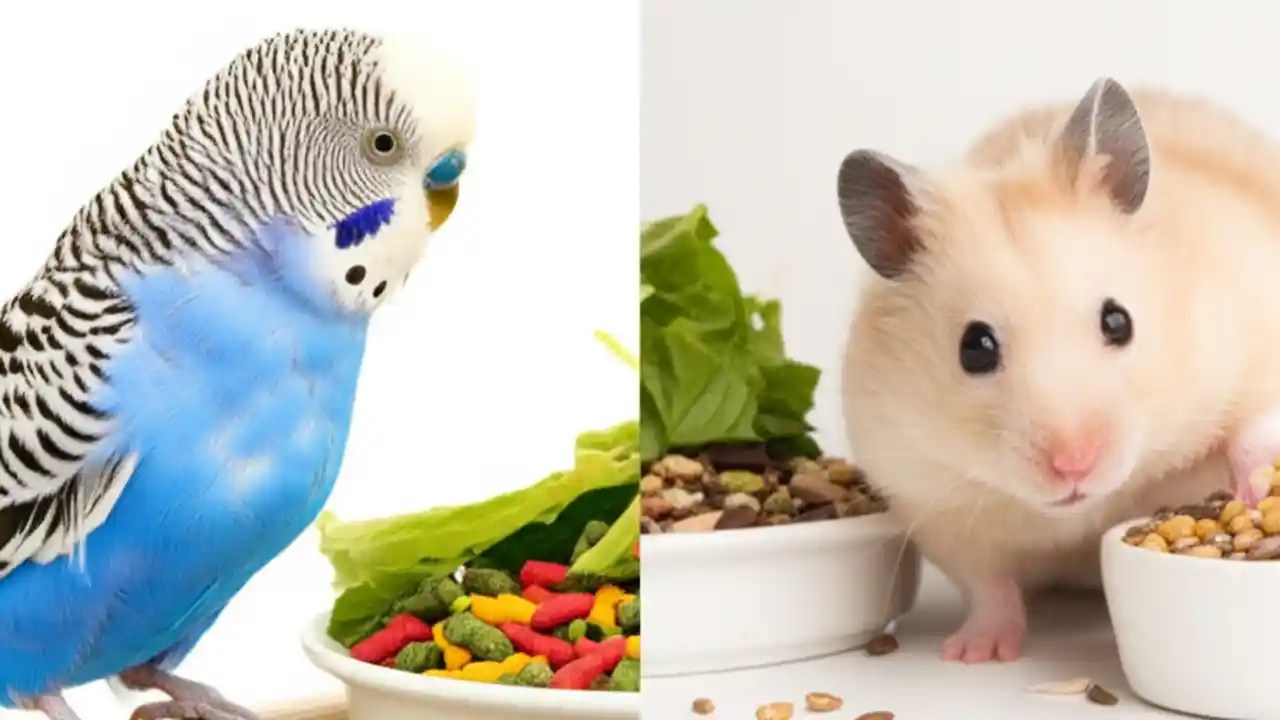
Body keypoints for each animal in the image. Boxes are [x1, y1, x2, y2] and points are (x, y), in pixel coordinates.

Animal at [835, 78, 1280, 664]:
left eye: (1118, 320)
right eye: (974, 349)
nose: (1075, 465)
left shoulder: (1257, 330)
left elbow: (1255, 423)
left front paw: (1253, 493)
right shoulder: (934, 505)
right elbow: (987, 586)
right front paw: (975, 653)